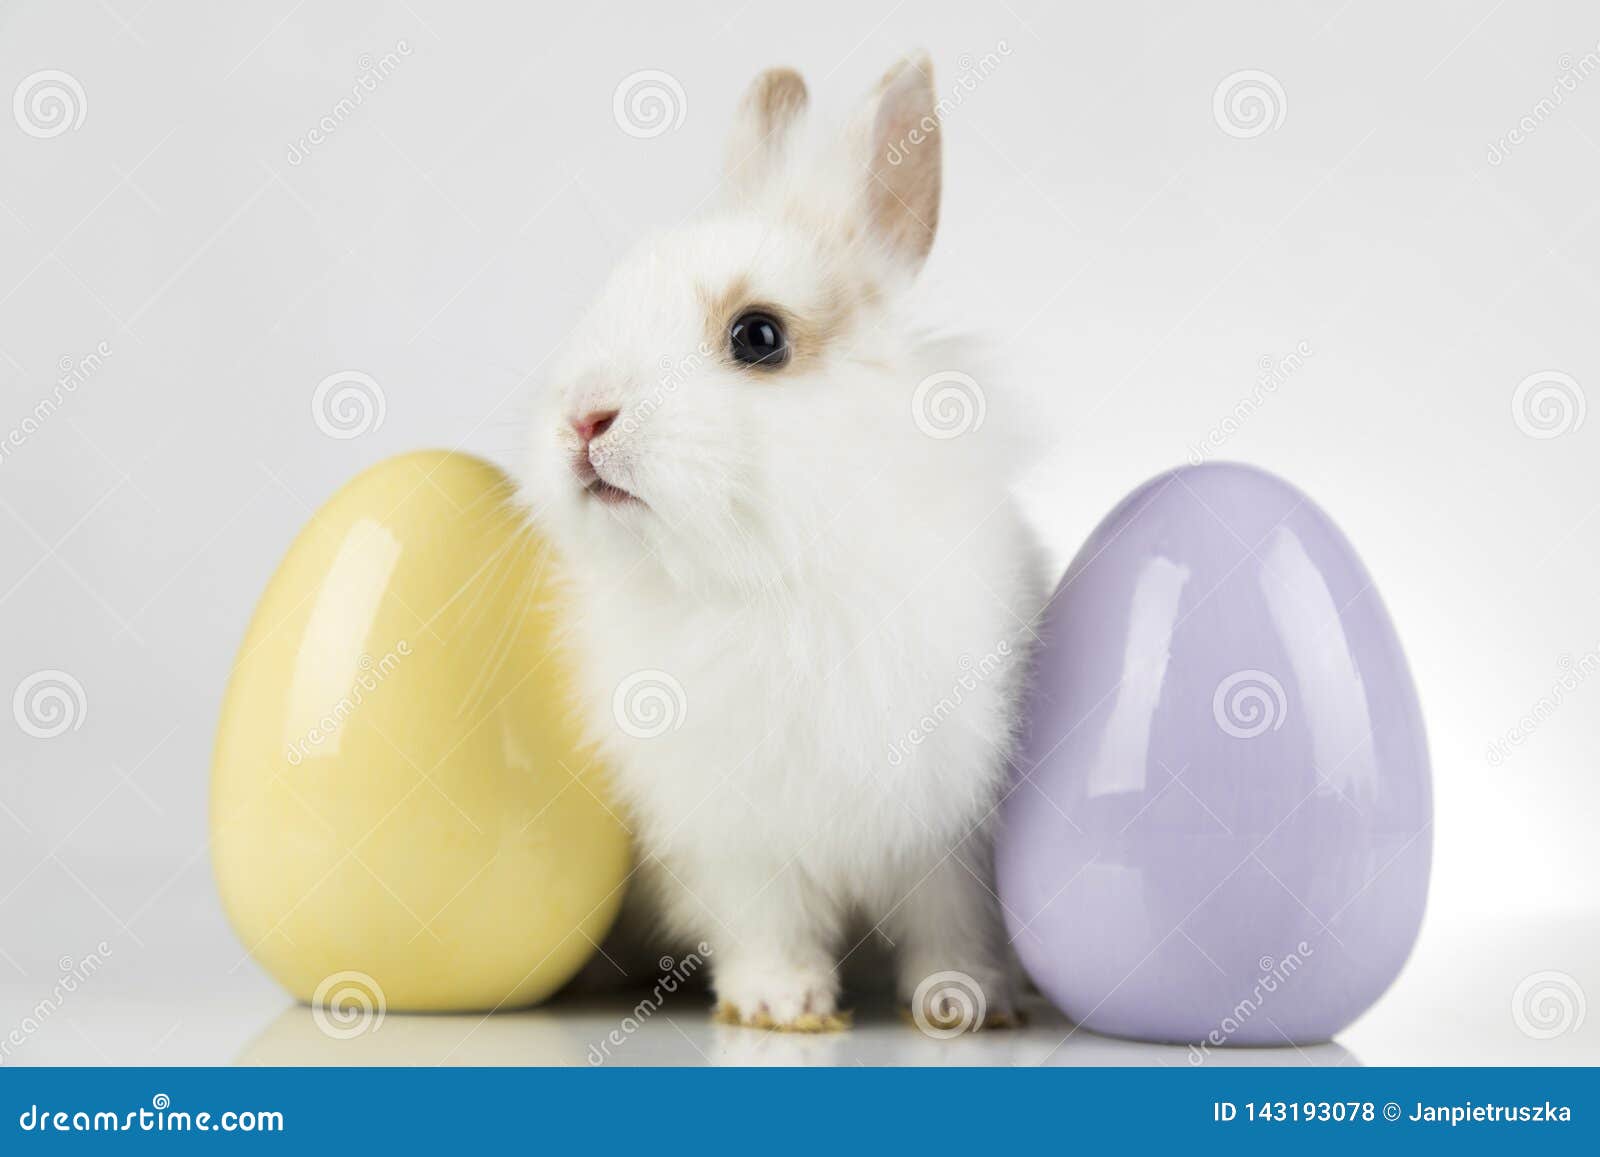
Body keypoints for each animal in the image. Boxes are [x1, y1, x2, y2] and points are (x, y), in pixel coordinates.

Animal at [521, 54, 1048, 1031]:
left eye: (758, 335)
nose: (583, 419)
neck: (772, 579)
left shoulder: (949, 827)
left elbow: (950, 922)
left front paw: (964, 1003)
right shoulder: (733, 837)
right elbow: (768, 922)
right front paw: (780, 1005)